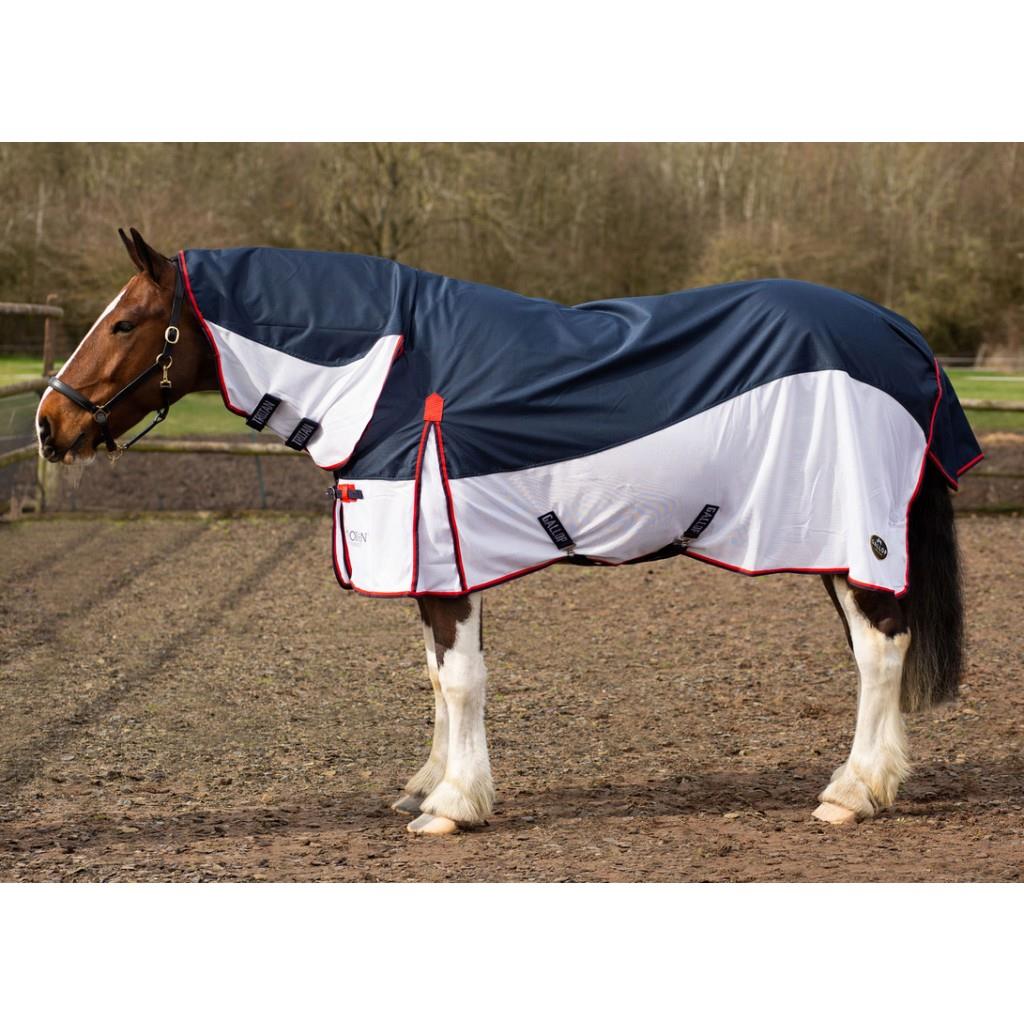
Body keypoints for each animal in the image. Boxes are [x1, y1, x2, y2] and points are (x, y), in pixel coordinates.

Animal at [36, 227, 981, 836]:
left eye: (125, 323)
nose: (49, 424)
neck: (395, 370)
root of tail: (900, 335)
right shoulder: (436, 558)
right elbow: (436, 678)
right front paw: (430, 788)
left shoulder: (441, 555)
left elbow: (459, 682)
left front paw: (453, 807)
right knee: (881, 652)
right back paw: (883, 781)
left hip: (854, 539)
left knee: (880, 651)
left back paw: (852, 792)